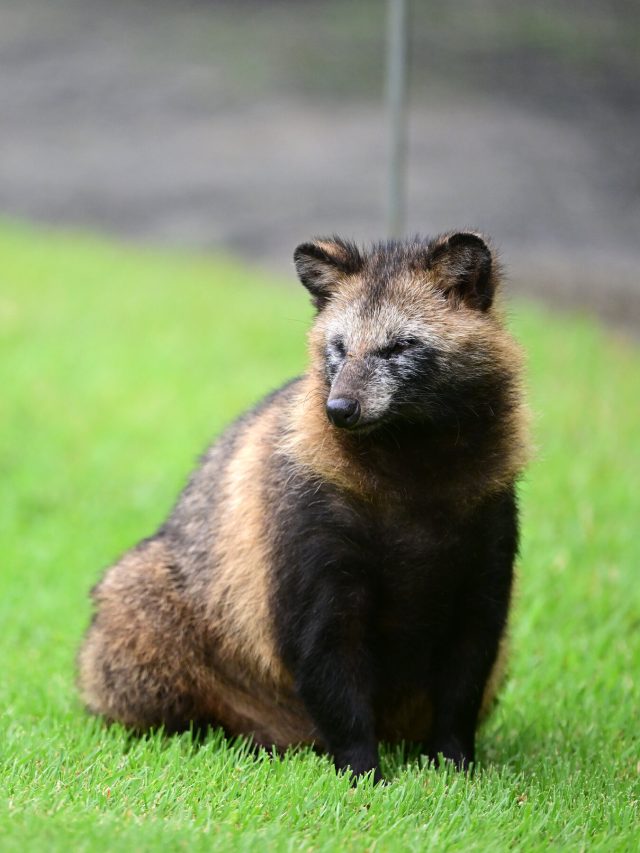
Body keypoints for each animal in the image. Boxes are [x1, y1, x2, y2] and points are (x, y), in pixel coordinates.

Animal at [78, 232, 529, 782]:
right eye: (339, 346)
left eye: (401, 345)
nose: (339, 409)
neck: (410, 451)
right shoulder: (306, 516)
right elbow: (321, 642)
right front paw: (360, 767)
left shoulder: (487, 524)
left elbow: (473, 649)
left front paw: (453, 759)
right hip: (148, 611)